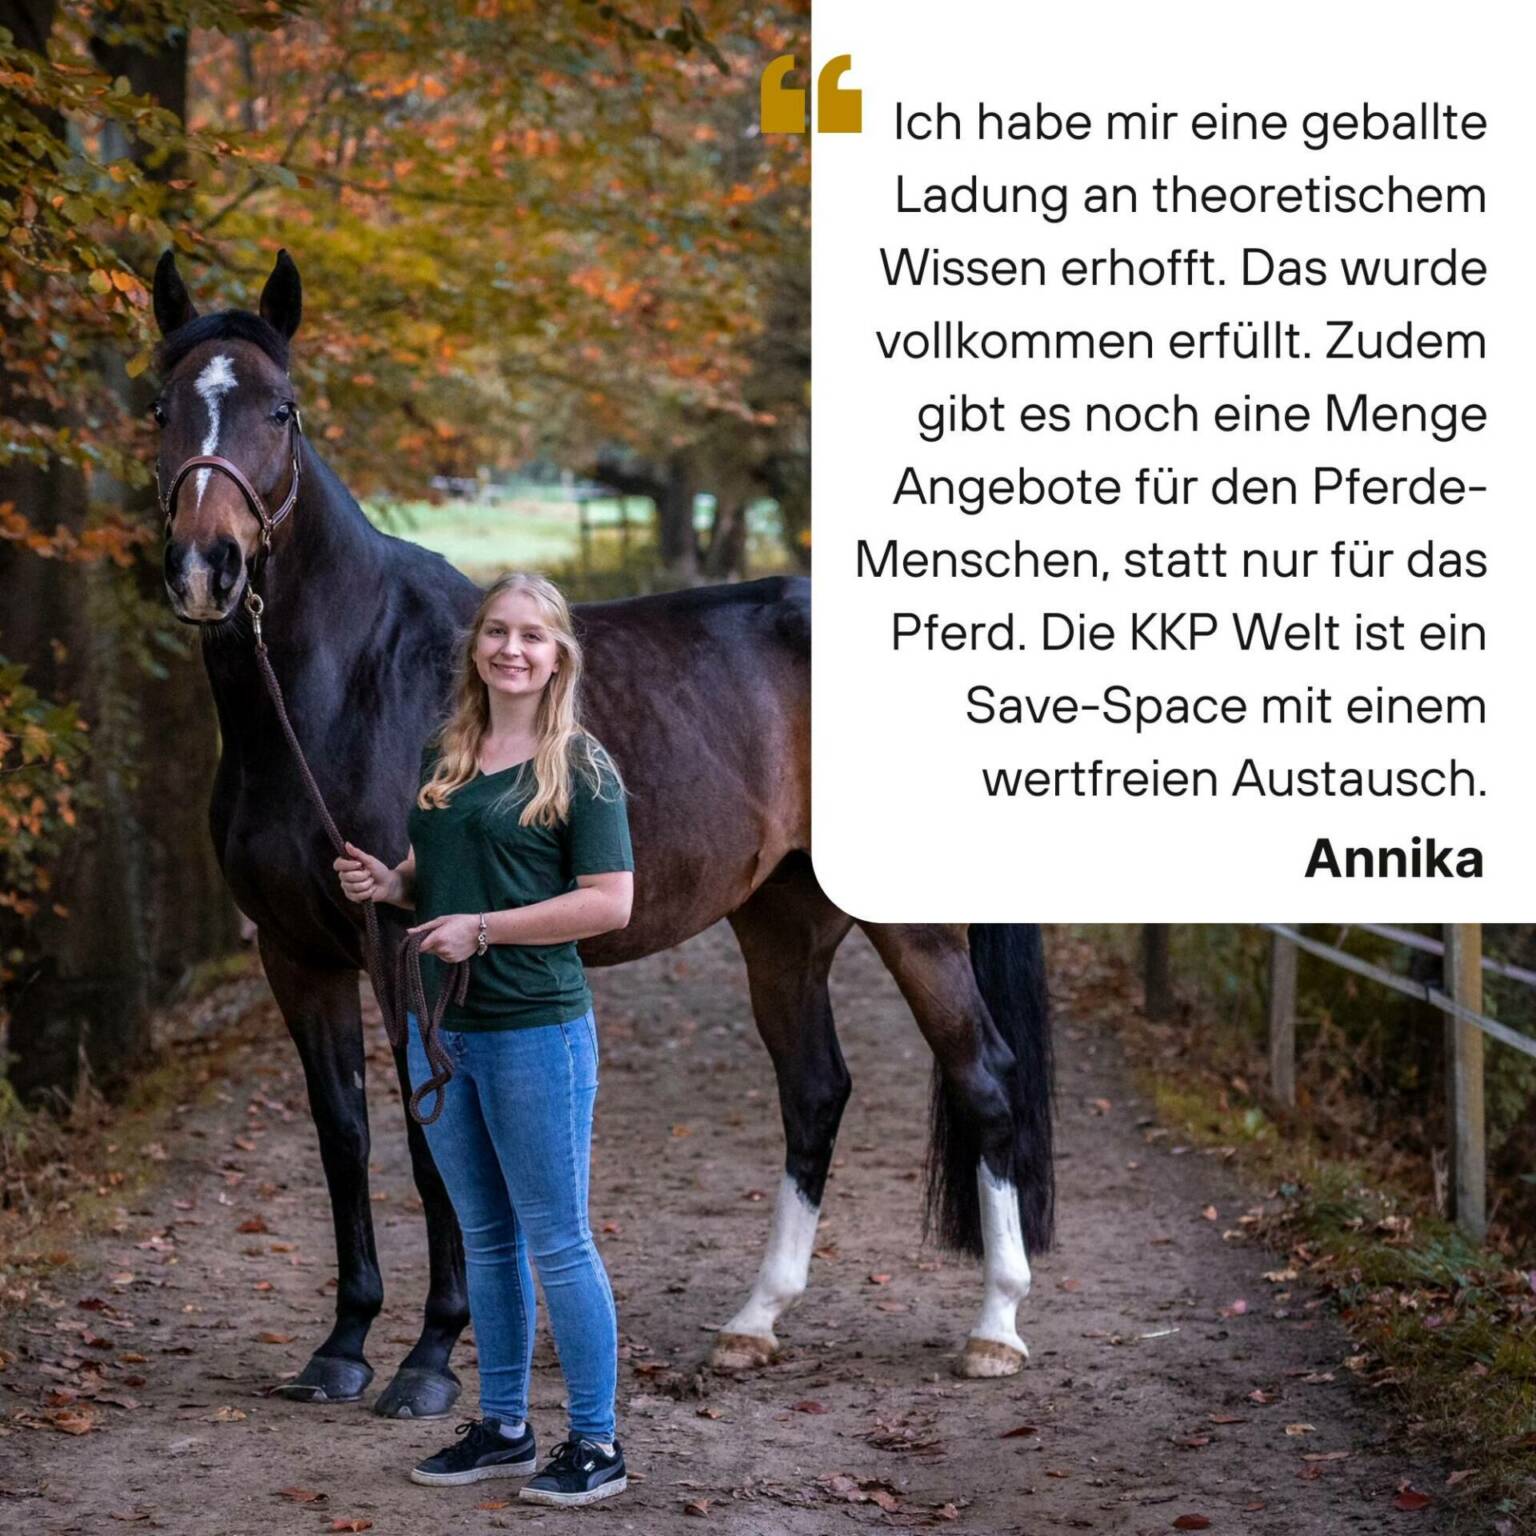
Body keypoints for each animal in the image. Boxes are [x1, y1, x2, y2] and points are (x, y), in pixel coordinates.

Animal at [148, 248, 1054, 1417]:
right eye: (163, 406)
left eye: (281, 409)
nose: (207, 567)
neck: (338, 686)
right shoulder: (296, 955)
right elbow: (344, 1135)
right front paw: (343, 1345)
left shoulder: (405, 943)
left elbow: (429, 1141)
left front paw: (429, 1358)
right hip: (784, 917)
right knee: (815, 1091)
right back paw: (752, 1325)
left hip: (915, 925)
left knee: (984, 1075)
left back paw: (995, 1328)